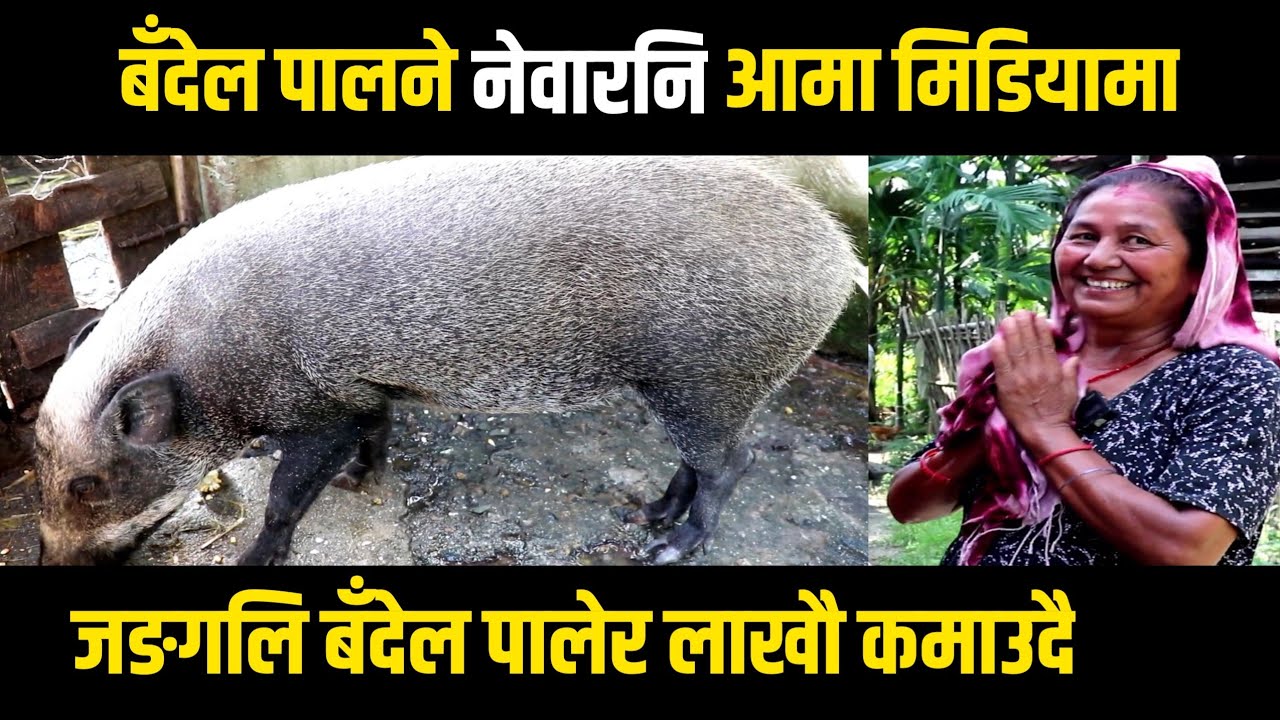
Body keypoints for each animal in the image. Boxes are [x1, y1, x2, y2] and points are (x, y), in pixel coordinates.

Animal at [33, 155, 861, 566]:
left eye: (87, 485)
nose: (47, 561)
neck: (206, 362)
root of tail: (842, 259)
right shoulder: (367, 389)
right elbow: (376, 435)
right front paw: (362, 482)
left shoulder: (319, 407)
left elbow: (286, 496)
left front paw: (255, 562)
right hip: (688, 385)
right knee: (698, 459)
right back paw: (649, 515)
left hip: (712, 376)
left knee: (733, 462)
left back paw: (666, 548)